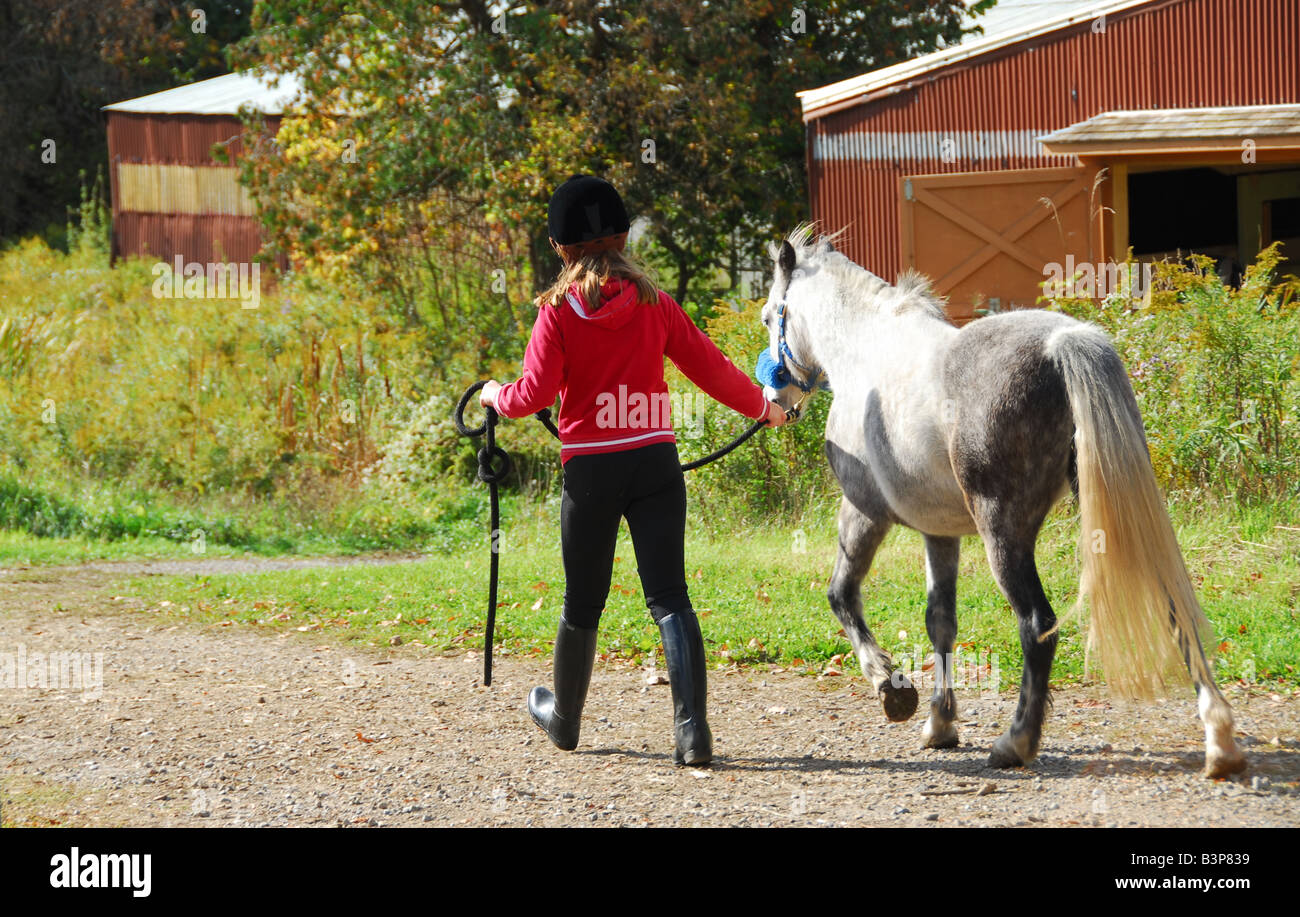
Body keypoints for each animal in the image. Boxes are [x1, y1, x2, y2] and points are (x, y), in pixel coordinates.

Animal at [759, 225, 1248, 775]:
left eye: (769, 316)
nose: (775, 401)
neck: (867, 350)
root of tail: (1062, 342)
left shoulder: (863, 512)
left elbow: (841, 595)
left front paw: (890, 686)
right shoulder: (940, 533)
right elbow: (940, 622)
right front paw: (940, 723)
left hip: (1003, 534)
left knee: (1037, 624)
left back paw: (1015, 742)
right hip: (1120, 517)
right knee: (1171, 604)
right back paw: (1219, 740)